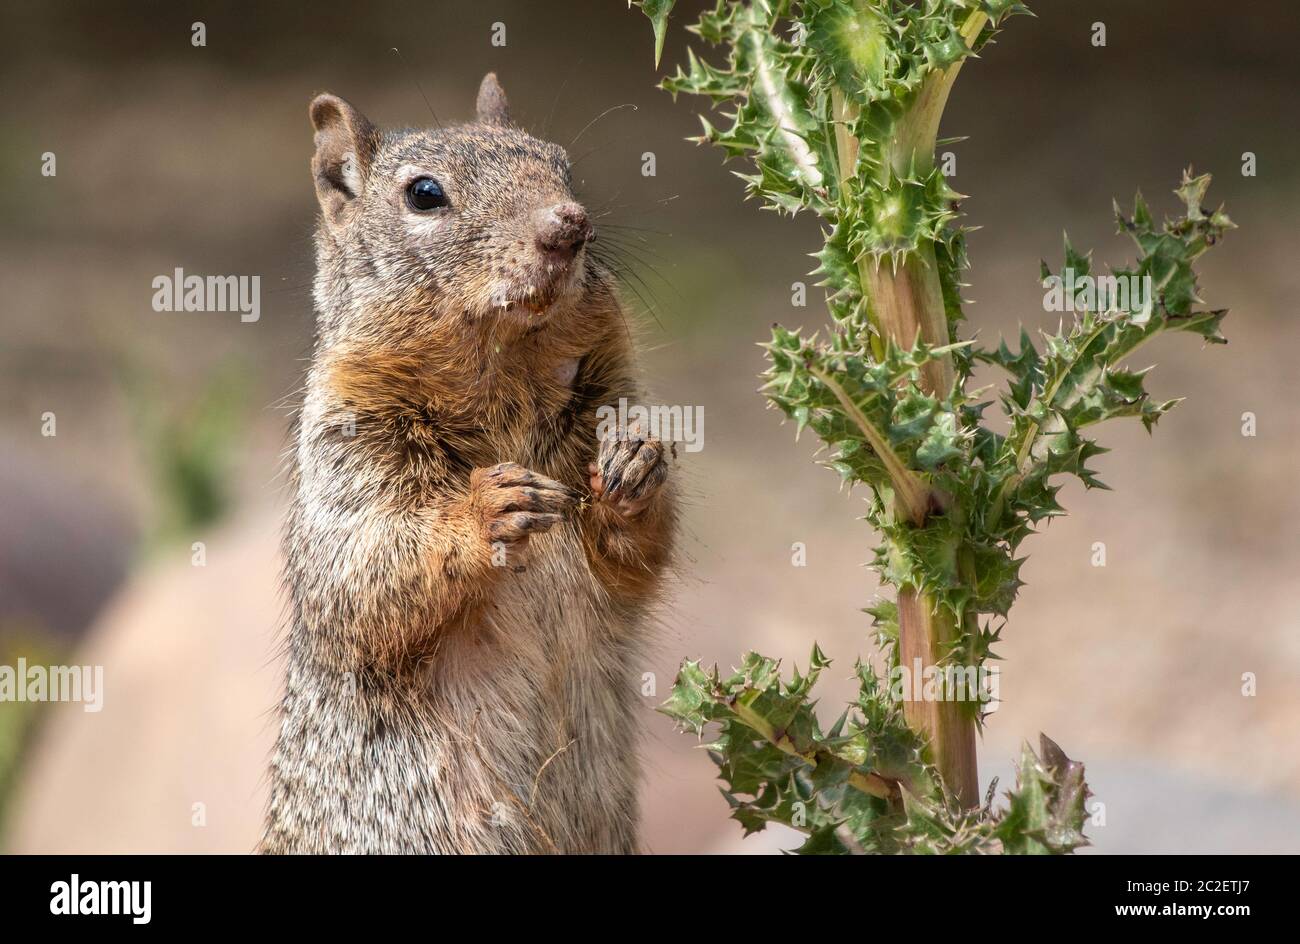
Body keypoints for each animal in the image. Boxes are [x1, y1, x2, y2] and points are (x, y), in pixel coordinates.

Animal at [260, 74, 677, 854]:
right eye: (424, 194)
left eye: (562, 164)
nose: (569, 224)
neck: (503, 372)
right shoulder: (345, 451)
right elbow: (362, 576)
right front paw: (488, 509)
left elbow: (637, 565)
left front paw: (632, 470)